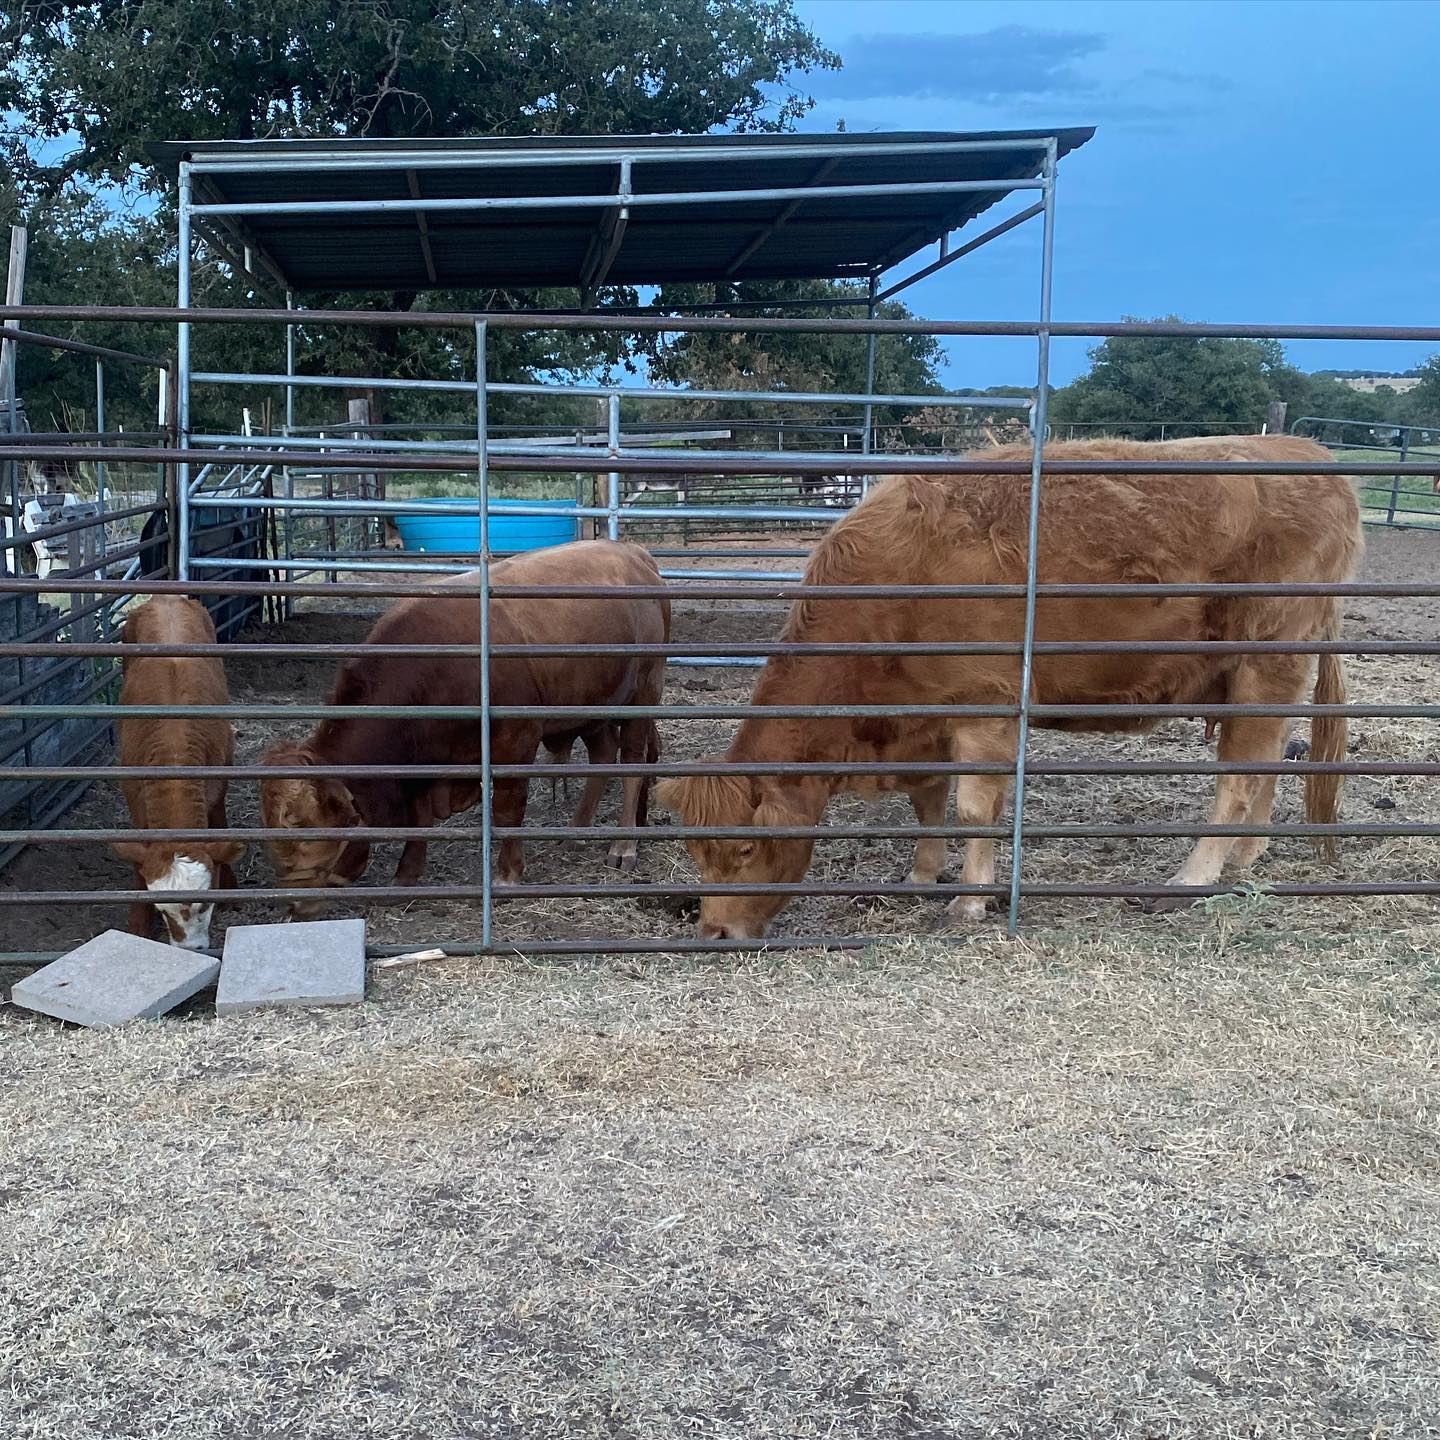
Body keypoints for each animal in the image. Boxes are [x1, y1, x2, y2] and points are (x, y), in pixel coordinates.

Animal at [110, 597, 242, 949]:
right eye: (161, 909)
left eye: (205, 905)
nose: (191, 949)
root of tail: (166, 598)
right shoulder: (134, 797)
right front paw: (138, 924)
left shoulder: (221, 774)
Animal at [260, 539, 669, 915]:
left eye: (308, 831)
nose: (294, 903)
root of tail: (633, 552)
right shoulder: (424, 763)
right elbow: (419, 819)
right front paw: (406, 875)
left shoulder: (515, 740)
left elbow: (507, 810)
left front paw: (507, 873)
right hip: (592, 704)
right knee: (603, 755)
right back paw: (576, 831)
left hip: (643, 692)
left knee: (632, 762)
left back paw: (623, 845)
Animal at [656, 435, 1362, 940]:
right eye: (695, 850)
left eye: (746, 846)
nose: (714, 933)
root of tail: (1312, 457)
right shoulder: (928, 719)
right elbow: (929, 802)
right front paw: (922, 876)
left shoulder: (984, 706)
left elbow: (974, 809)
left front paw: (969, 902)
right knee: (1266, 759)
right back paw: (1245, 857)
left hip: (1263, 660)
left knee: (1239, 774)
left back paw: (1192, 876)